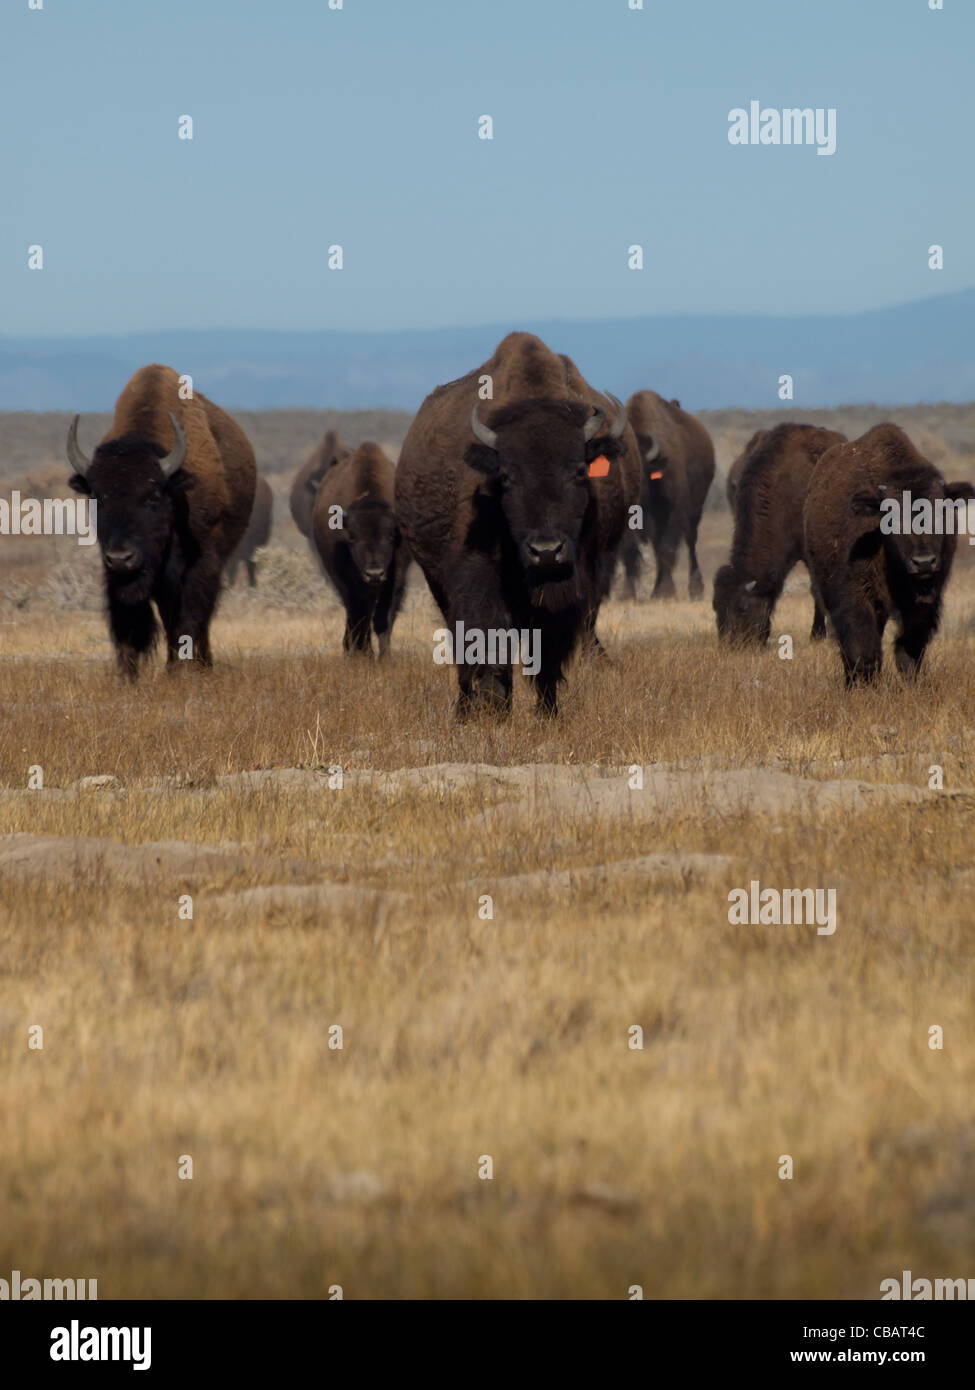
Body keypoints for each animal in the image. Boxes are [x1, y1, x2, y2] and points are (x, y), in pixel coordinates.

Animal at [67, 363, 256, 676]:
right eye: (98, 497)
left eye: (153, 496)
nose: (121, 558)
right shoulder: (117, 574)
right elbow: (131, 626)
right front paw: (128, 677)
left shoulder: (201, 562)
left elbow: (189, 618)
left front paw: (184, 671)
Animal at [312, 443, 410, 657]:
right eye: (352, 538)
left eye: (391, 536)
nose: (374, 573)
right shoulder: (346, 578)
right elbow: (359, 612)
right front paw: (361, 653)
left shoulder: (395, 576)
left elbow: (383, 616)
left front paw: (385, 657)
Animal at [395, 332, 641, 715]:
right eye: (507, 476)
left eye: (580, 471)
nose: (546, 551)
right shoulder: (477, 573)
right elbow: (486, 637)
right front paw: (492, 708)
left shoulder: (574, 583)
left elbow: (549, 652)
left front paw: (548, 712)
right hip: (437, 582)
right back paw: (468, 707)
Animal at [620, 391, 715, 599]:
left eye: (638, 472)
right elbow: (631, 551)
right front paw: (628, 594)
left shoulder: (672, 514)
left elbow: (666, 549)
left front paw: (666, 591)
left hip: (695, 510)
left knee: (690, 543)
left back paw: (695, 589)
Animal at [803, 424, 975, 684]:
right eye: (893, 518)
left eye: (940, 513)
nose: (924, 562)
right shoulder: (857, 596)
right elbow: (863, 648)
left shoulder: (923, 601)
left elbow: (910, 646)